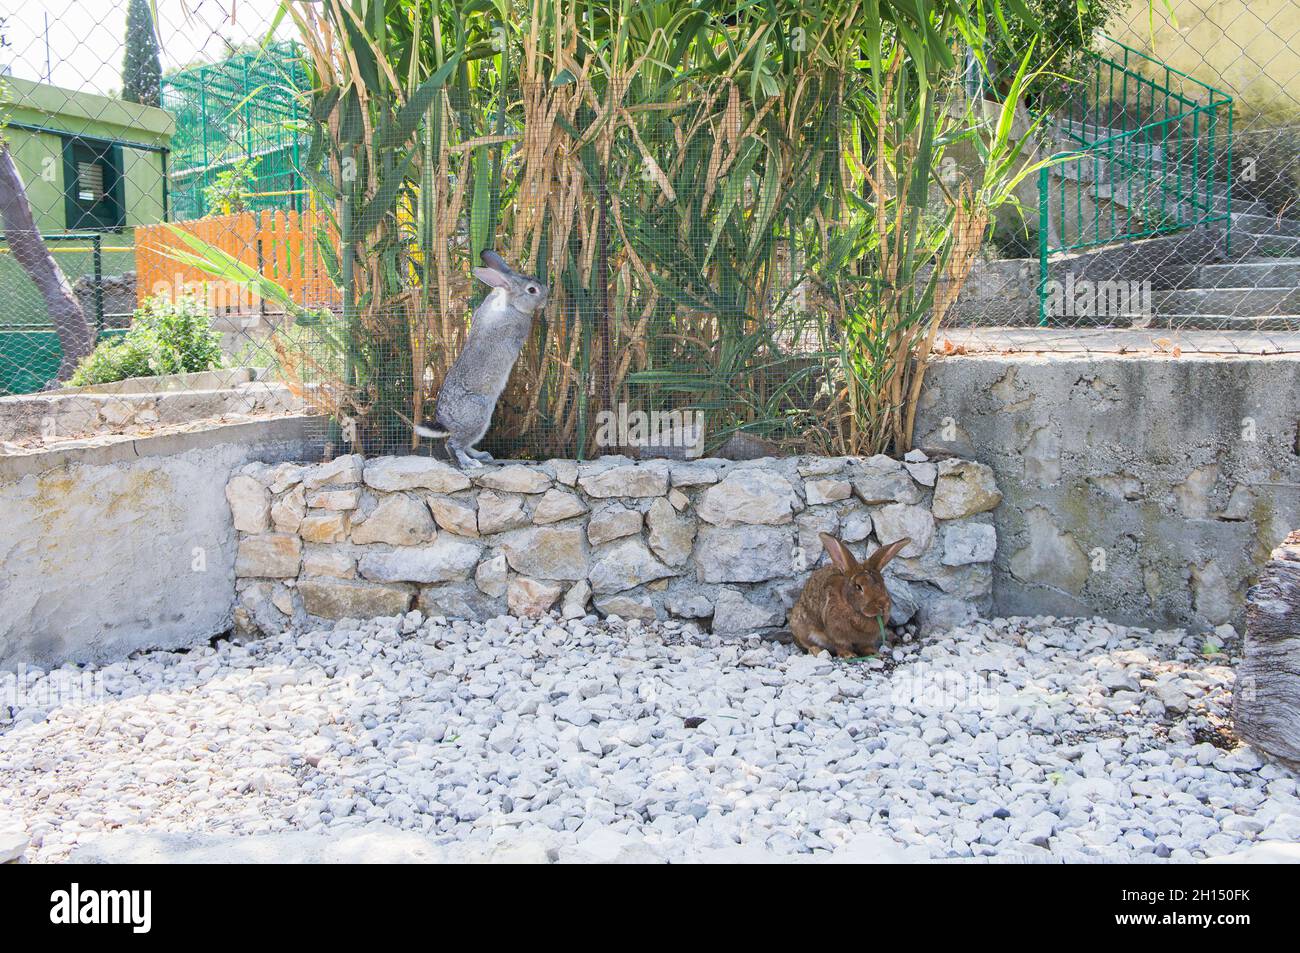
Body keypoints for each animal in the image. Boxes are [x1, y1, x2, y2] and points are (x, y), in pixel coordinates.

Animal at [409, 250, 549, 468]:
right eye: (532, 290)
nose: (546, 297)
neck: (509, 301)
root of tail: (445, 422)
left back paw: (482, 456)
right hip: (478, 417)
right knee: (453, 444)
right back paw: (470, 463)